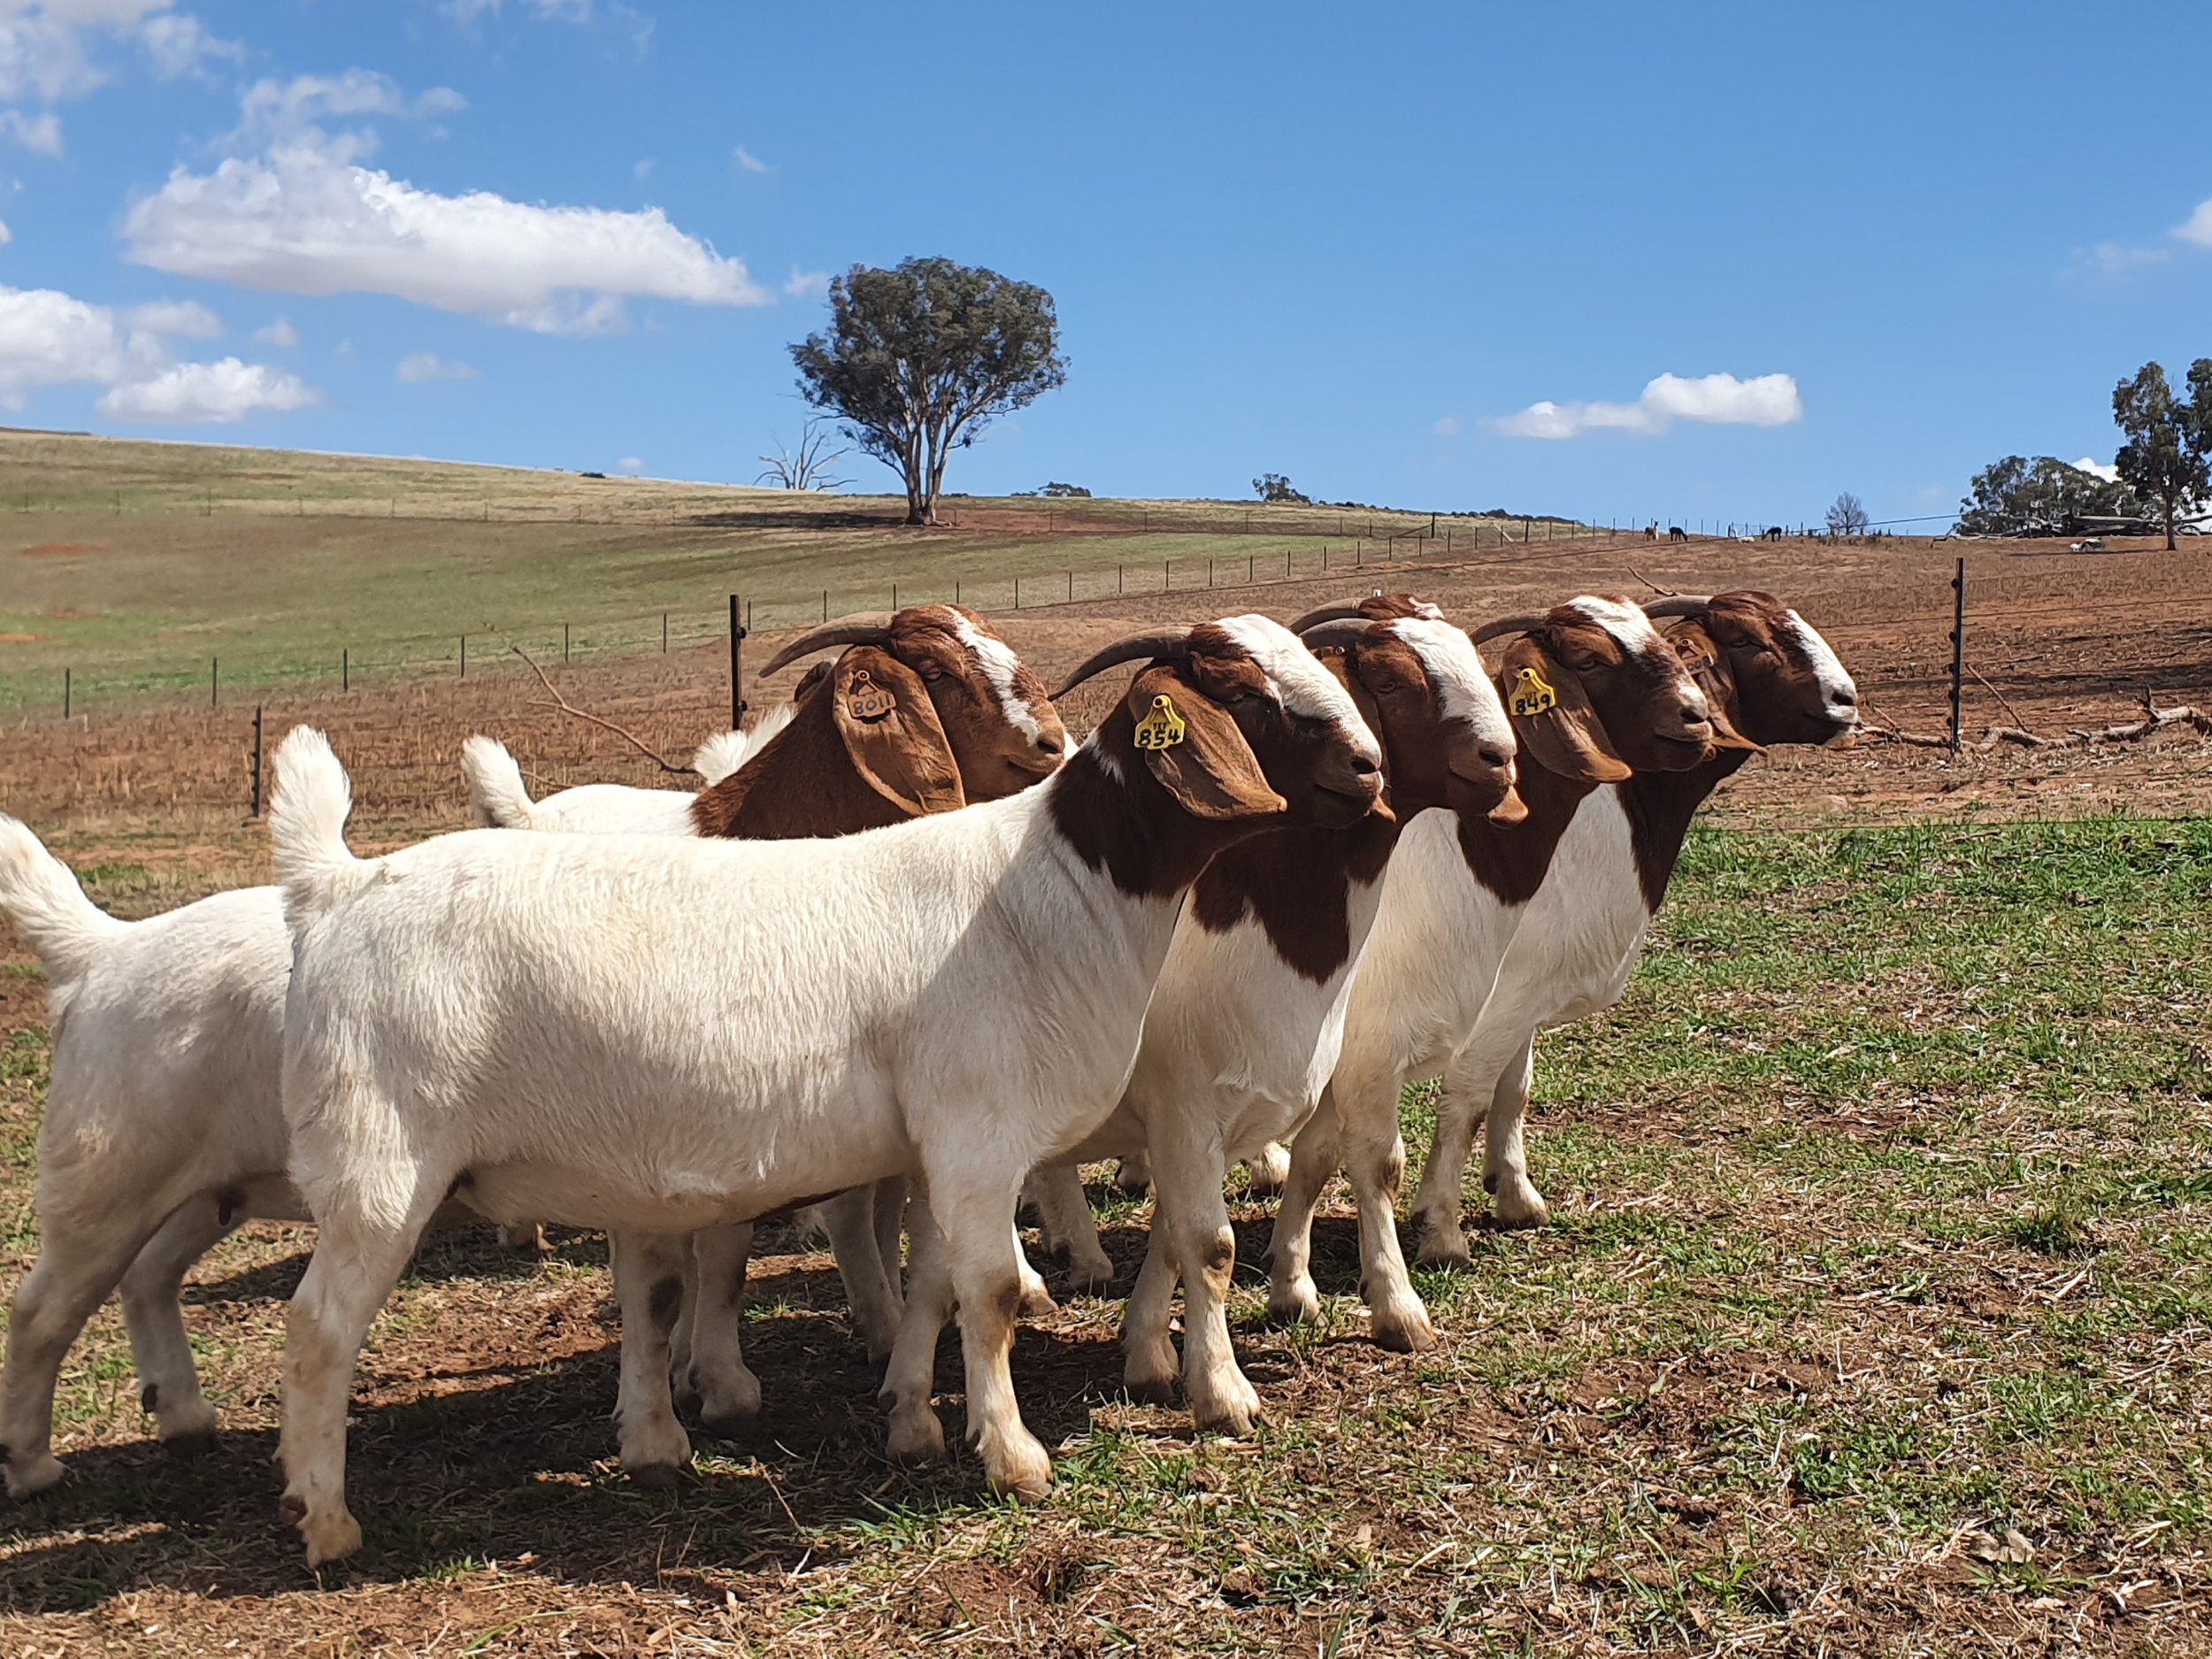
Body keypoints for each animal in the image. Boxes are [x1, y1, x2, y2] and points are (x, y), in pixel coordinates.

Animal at [266, 615, 1384, 1565]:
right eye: (1244, 692)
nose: (1369, 768)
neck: (1060, 887)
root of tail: (334, 888)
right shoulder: (979, 1133)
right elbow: (993, 1294)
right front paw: (1017, 1458)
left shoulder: (940, 1148)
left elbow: (937, 1283)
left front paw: (922, 1423)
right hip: (379, 1168)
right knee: (320, 1329)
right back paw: (324, 1522)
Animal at [983, 596, 1522, 1433]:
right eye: (1391, 680)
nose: (1502, 758)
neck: (1255, 935)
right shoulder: (1186, 1108)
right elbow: (1214, 1243)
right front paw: (1228, 1388)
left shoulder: (1208, 1120)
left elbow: (1179, 1233)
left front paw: (1149, 1353)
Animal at [1265, 597, 1719, 1351]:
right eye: (1588, 657)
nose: (1698, 717)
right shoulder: (1373, 1047)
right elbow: (1381, 1159)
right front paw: (1401, 1300)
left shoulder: (1346, 1053)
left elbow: (1318, 1154)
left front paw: (1292, 1286)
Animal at [1404, 592, 1858, 1261]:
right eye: (1744, 640)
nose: (1845, 699)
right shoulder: (1496, 993)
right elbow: (1467, 1096)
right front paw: (1439, 1227)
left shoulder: (1525, 987)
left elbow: (1513, 1089)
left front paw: (1515, 1196)